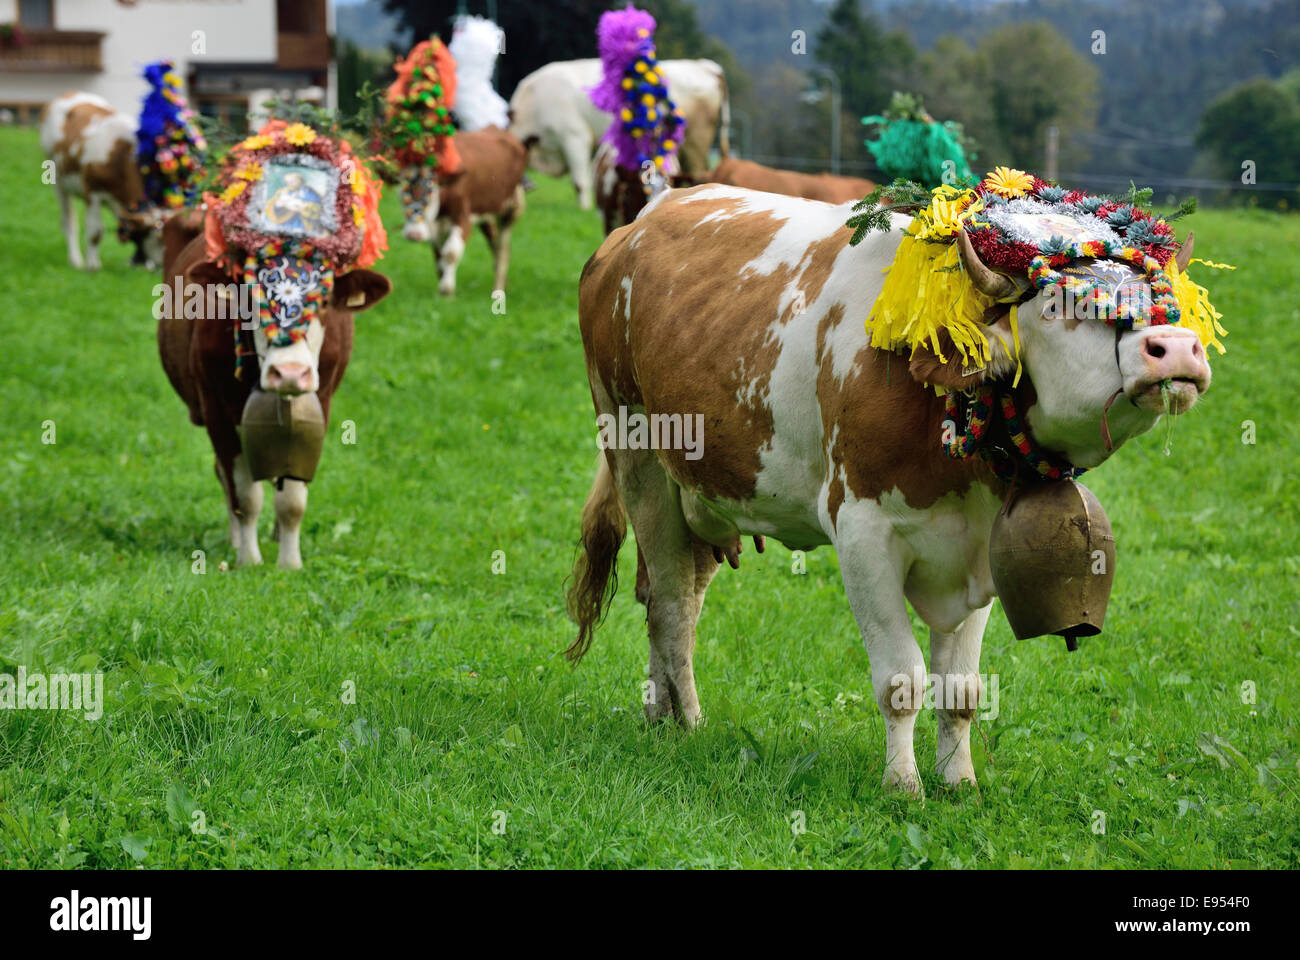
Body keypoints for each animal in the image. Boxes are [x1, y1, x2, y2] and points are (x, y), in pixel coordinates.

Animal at [41, 92, 162, 270]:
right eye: (159, 237)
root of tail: (70, 93)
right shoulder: (92, 193)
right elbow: (95, 231)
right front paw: (92, 265)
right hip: (58, 182)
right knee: (68, 221)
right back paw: (75, 260)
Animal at [157, 211, 391, 569]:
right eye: (250, 299)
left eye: (324, 300)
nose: (290, 373)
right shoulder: (216, 410)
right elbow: (244, 494)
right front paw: (248, 559)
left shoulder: (319, 405)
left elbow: (292, 499)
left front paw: (290, 563)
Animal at [401, 127, 529, 297]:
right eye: (403, 193)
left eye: (431, 190)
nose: (413, 235)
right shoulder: (435, 226)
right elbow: (439, 258)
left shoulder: (463, 218)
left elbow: (450, 253)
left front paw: (446, 290)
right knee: (493, 240)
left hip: (511, 210)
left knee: (502, 249)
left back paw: (498, 289)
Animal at [509, 58, 728, 210]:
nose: (528, 186)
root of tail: (704, 66)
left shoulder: (574, 137)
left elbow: (579, 182)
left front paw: (584, 208)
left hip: (696, 142)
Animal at [566, 185, 1212, 794]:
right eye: (1060, 303)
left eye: (1162, 296)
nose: (1178, 348)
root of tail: (640, 221)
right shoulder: (863, 535)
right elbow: (902, 678)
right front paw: (903, 784)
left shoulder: (977, 551)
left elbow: (961, 689)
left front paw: (958, 781)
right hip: (635, 453)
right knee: (671, 601)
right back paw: (684, 726)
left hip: (701, 491)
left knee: (673, 592)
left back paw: (667, 715)